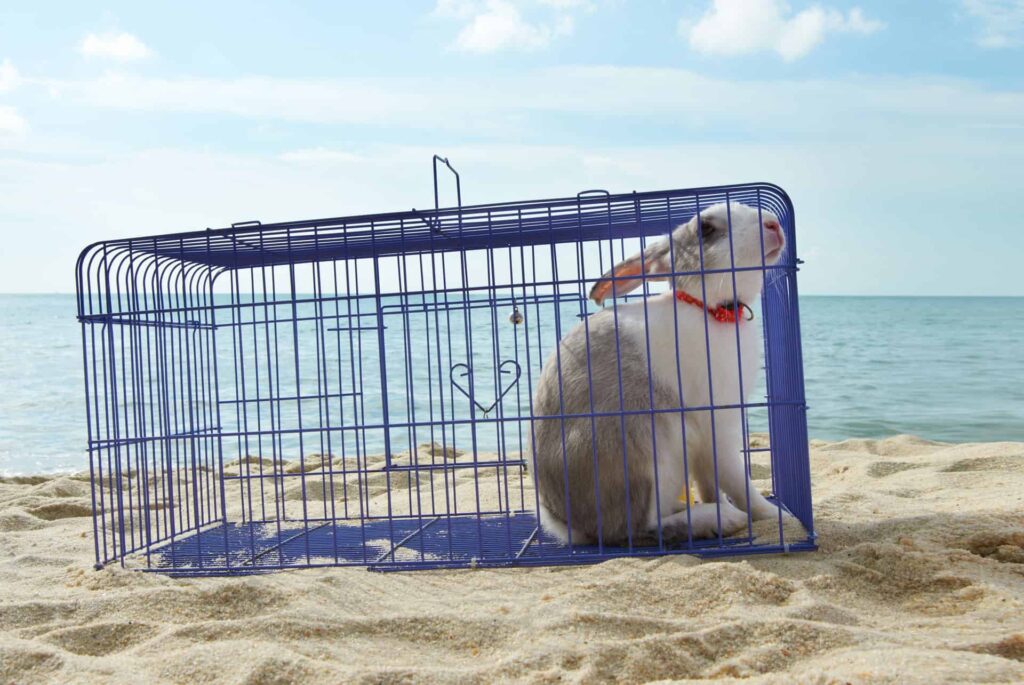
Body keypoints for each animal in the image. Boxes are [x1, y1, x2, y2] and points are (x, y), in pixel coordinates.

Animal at [529, 202, 789, 546]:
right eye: (706, 228)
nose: (773, 225)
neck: (707, 307)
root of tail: (567, 524)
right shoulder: (718, 425)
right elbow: (738, 482)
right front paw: (776, 515)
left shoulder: (705, 447)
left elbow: (710, 484)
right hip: (650, 453)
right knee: (639, 528)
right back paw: (722, 519)